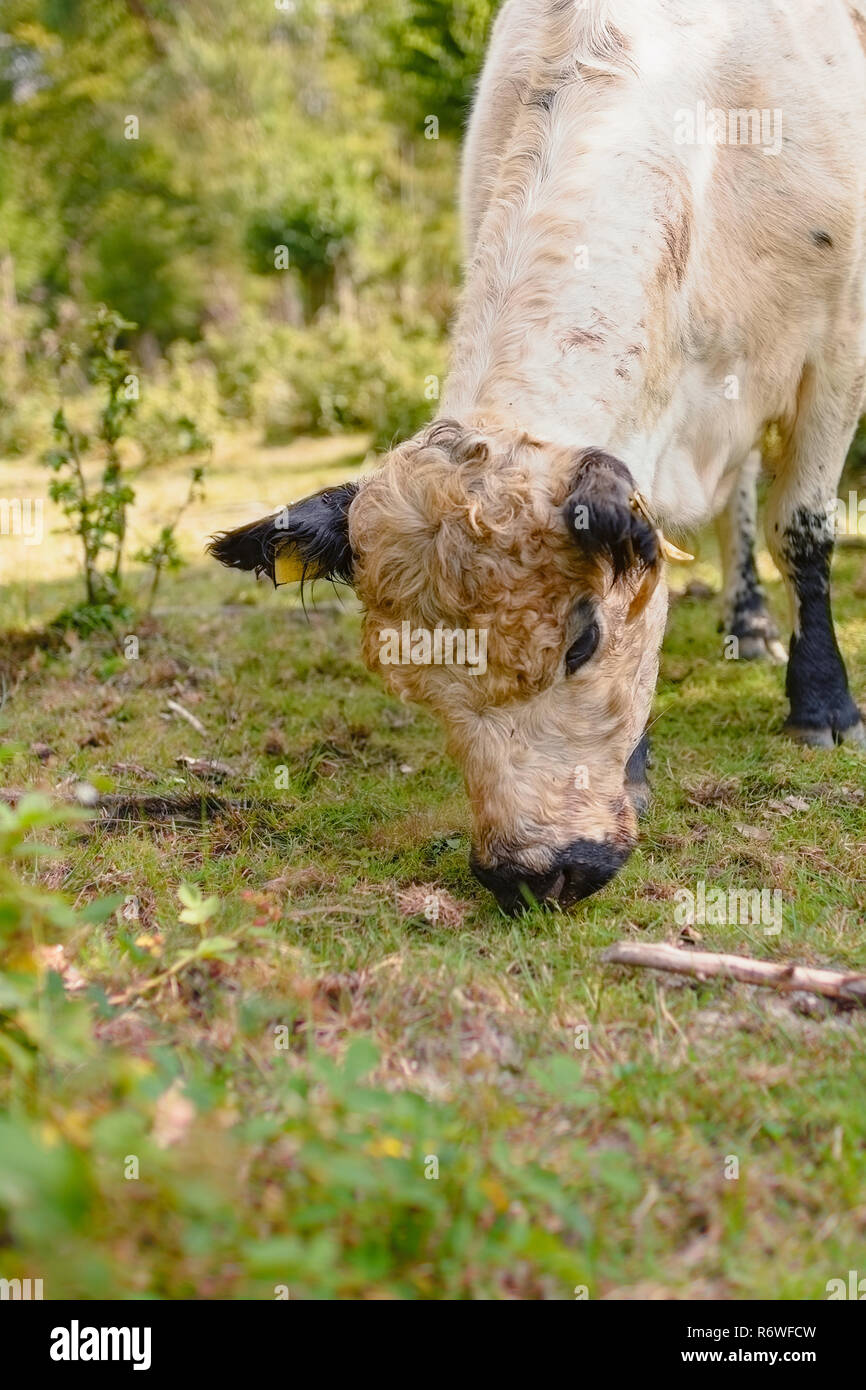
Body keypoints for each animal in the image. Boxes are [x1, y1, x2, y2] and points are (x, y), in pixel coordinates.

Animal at [210, 0, 866, 913]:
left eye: (582, 640)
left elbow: (801, 529)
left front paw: (824, 706)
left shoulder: (838, 346)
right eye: (409, 679)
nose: (531, 874)